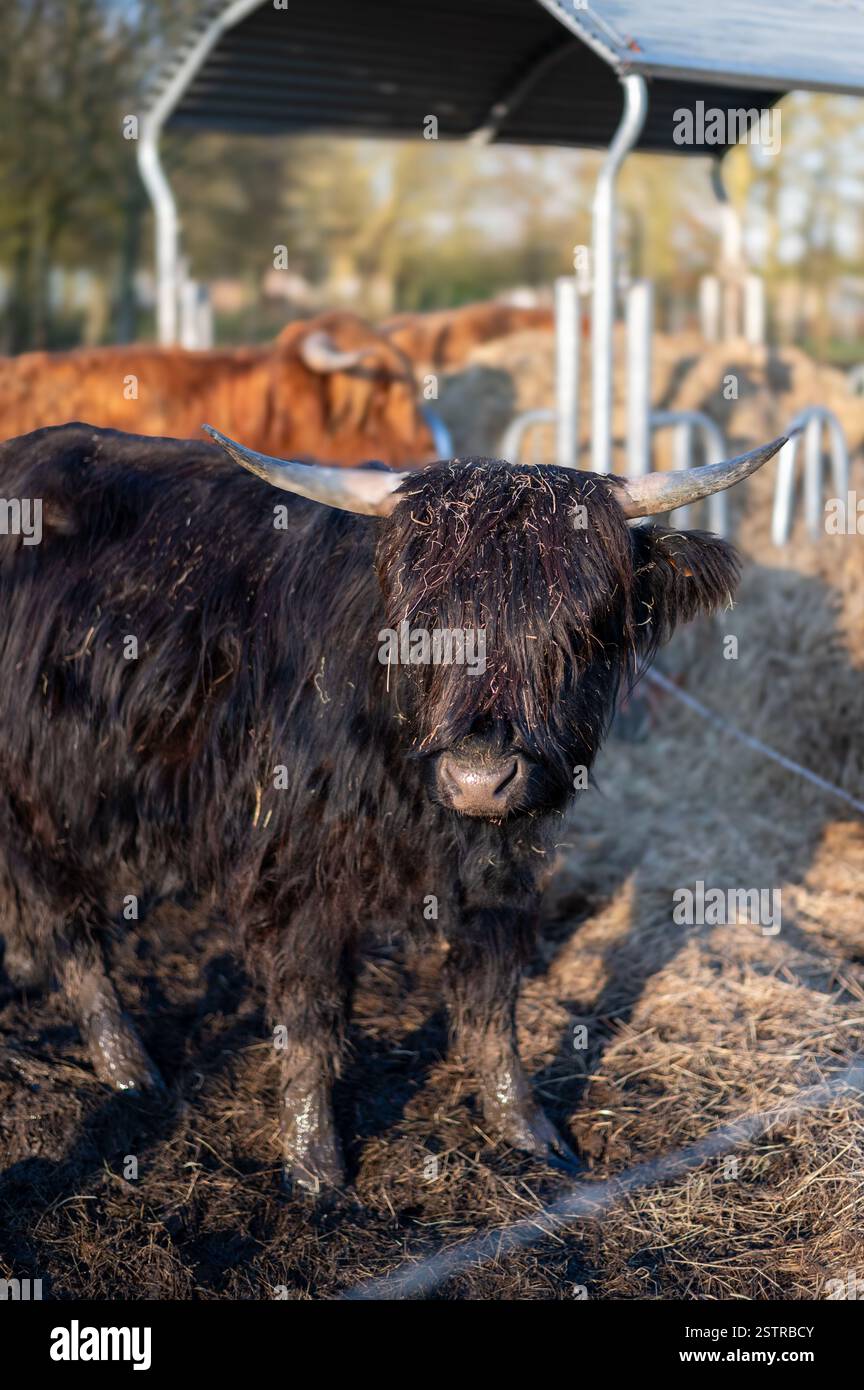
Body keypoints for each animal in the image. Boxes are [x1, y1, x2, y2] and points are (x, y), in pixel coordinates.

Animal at [0, 420, 786, 1194]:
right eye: (423, 623)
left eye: (575, 626)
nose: (479, 777)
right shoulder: (297, 861)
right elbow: (310, 1009)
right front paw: (315, 1167)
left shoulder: (501, 861)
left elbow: (492, 996)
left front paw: (529, 1132)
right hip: (34, 794)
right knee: (64, 922)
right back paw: (128, 1069)